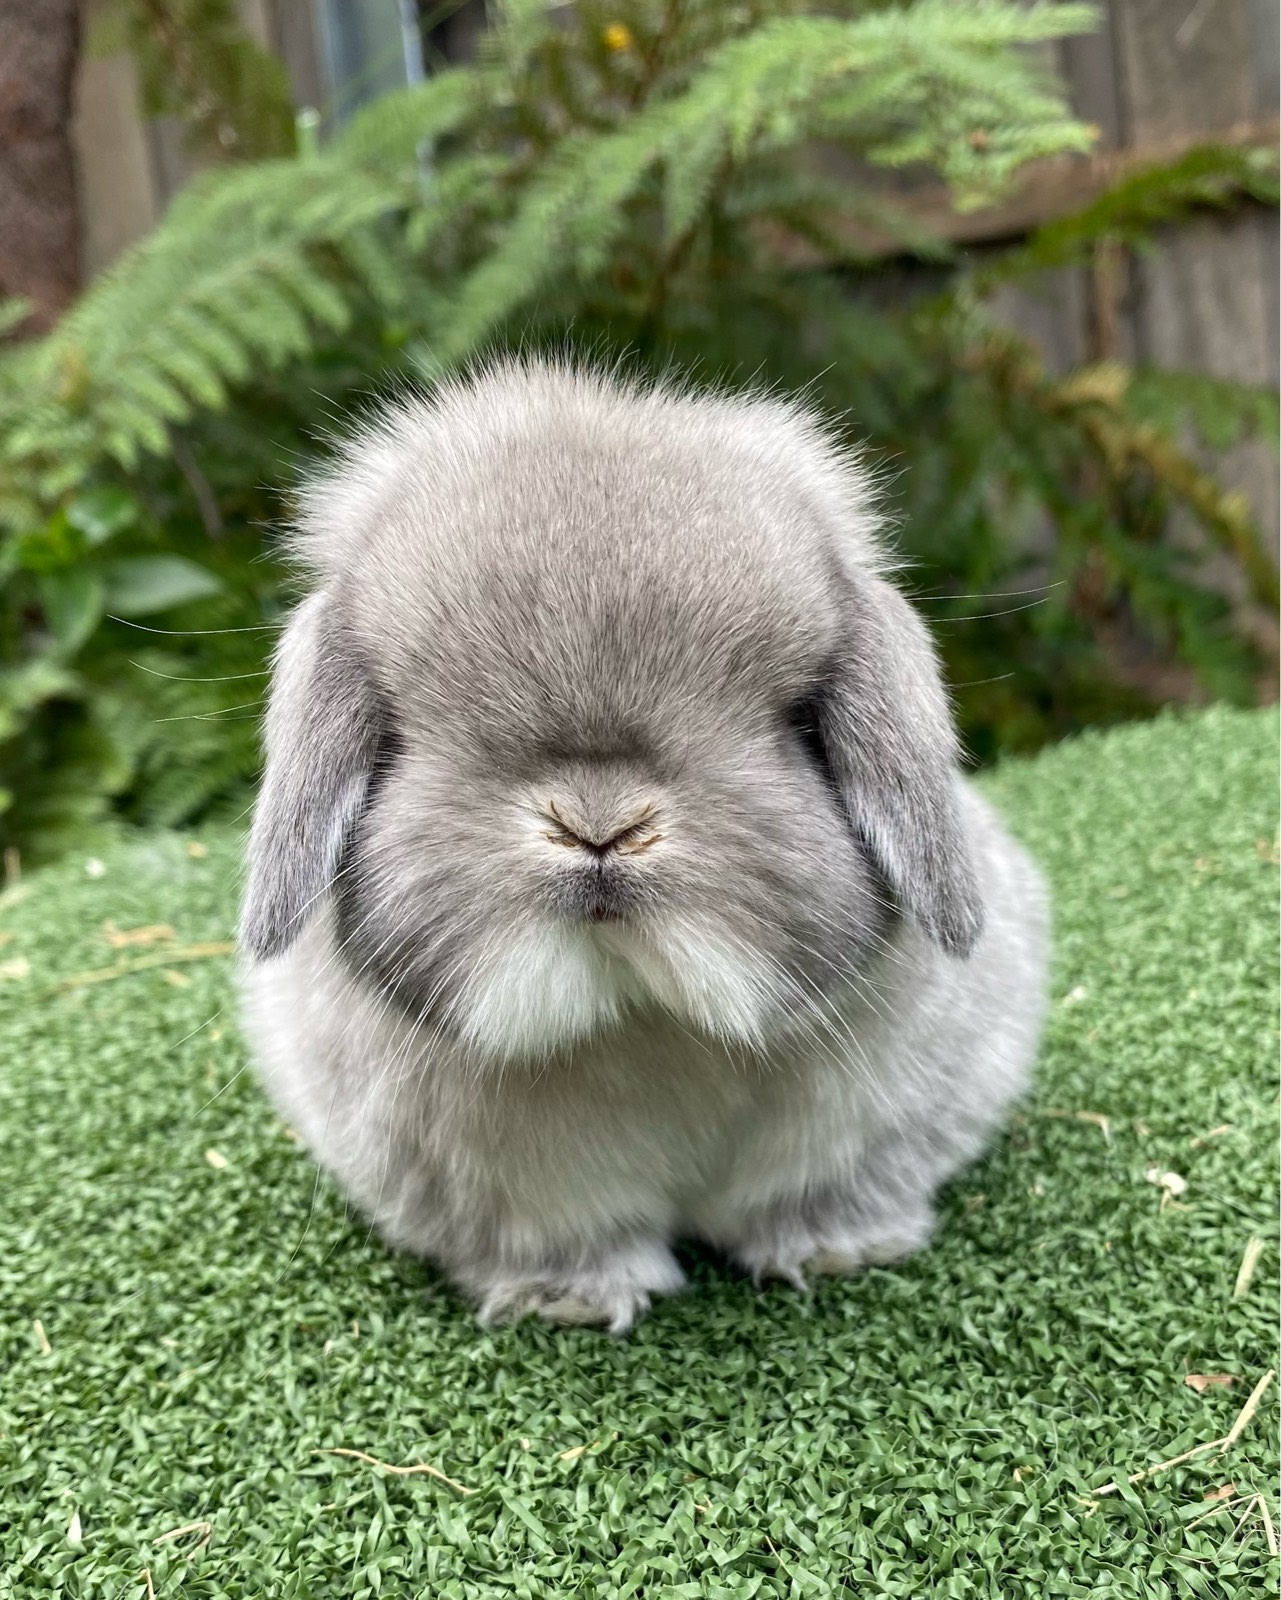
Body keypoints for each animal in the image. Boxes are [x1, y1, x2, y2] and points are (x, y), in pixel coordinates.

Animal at [239, 358, 1049, 1333]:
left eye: (799, 722)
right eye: (397, 733)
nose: (600, 827)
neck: (640, 1016)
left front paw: (834, 1253)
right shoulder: (529, 1201)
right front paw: (572, 1303)